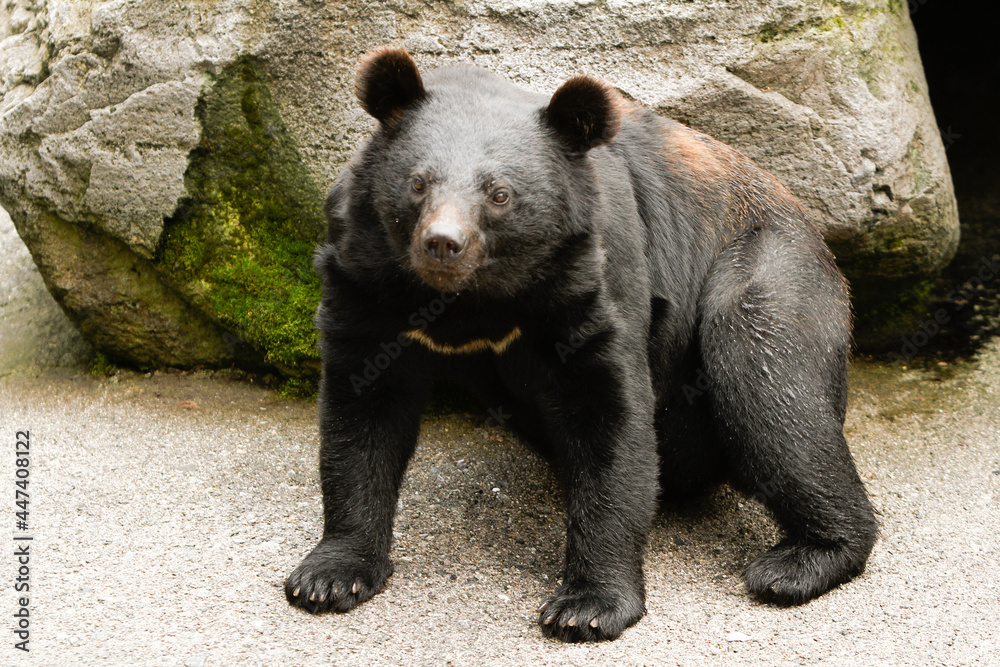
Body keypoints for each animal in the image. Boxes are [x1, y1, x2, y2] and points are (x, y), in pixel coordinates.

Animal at [285, 46, 878, 643]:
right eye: (417, 183)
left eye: (500, 194)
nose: (442, 244)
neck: (475, 297)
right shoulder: (365, 275)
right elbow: (363, 411)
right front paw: (328, 577)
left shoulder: (593, 277)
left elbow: (608, 416)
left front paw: (587, 607)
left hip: (768, 273)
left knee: (769, 389)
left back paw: (800, 562)